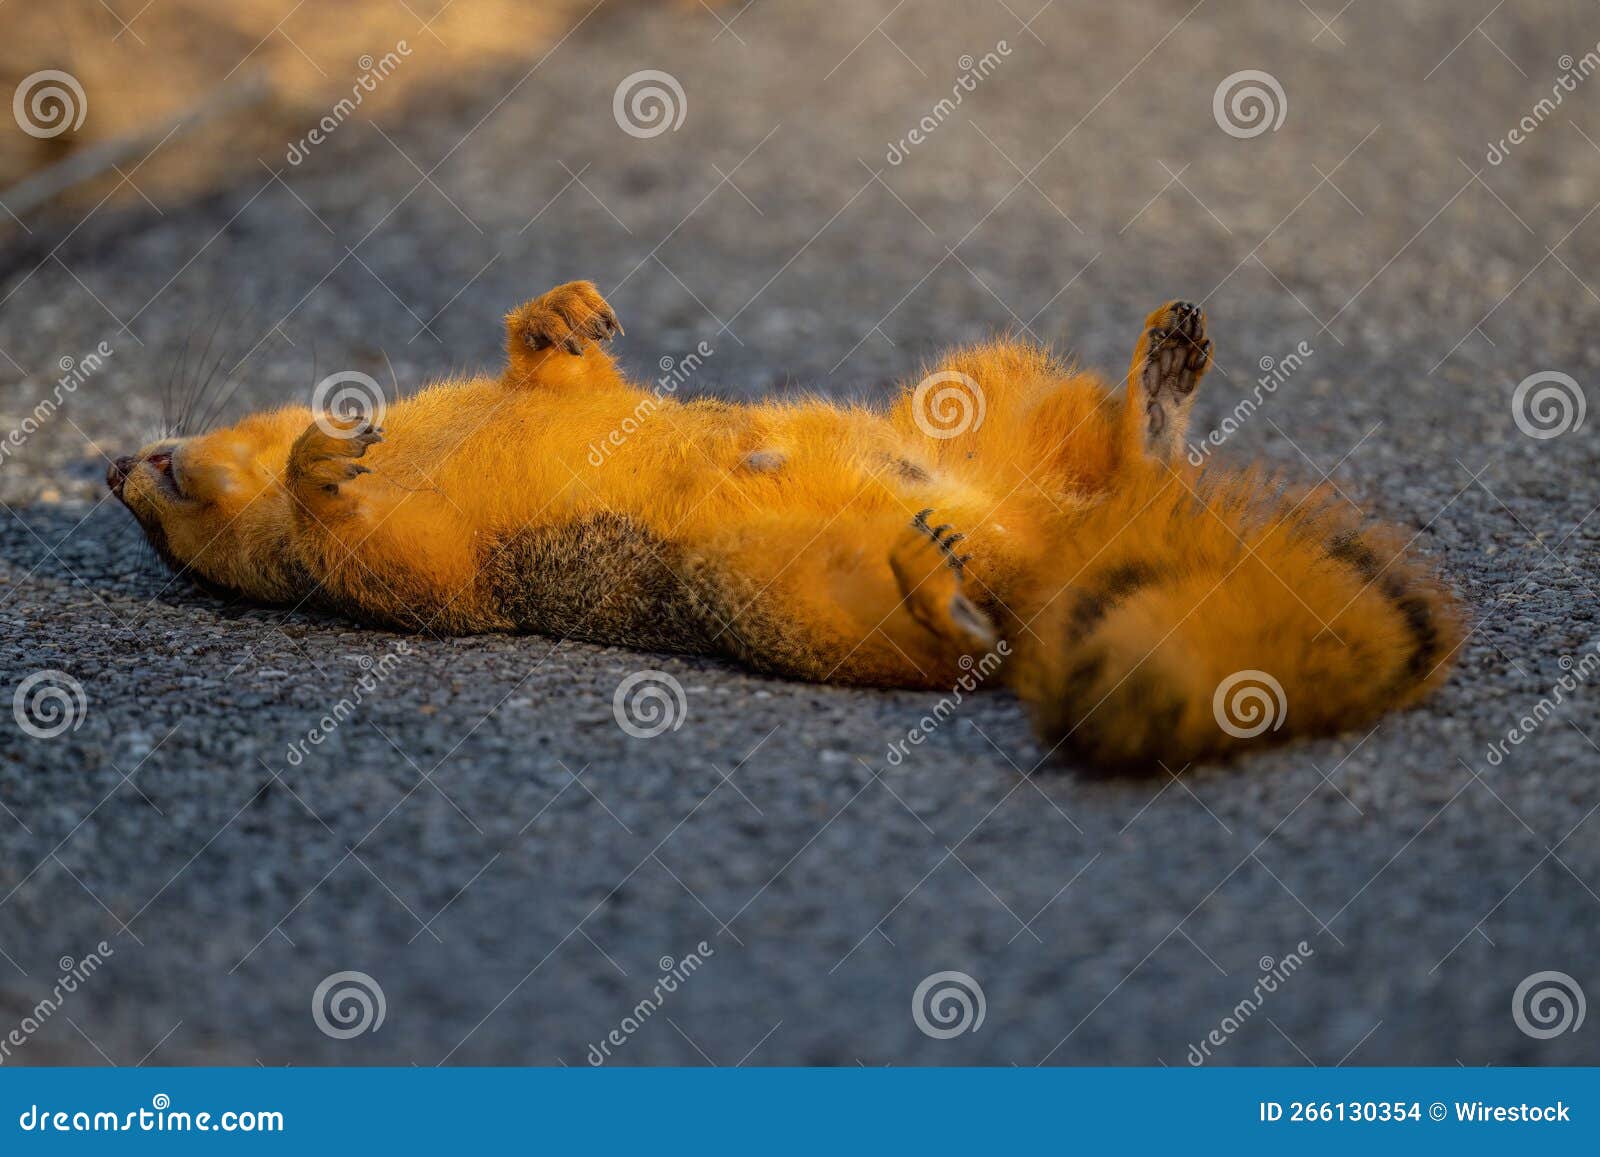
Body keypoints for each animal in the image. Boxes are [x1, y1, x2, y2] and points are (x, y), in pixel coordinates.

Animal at [108, 281, 1460, 771]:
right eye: (153, 520)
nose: (120, 460)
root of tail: (1058, 549)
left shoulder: (527, 403)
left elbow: (558, 371)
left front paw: (559, 312)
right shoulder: (402, 576)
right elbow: (385, 558)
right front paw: (318, 469)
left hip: (996, 393)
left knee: (1117, 457)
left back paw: (1158, 390)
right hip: (762, 591)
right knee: (944, 646)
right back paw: (942, 587)